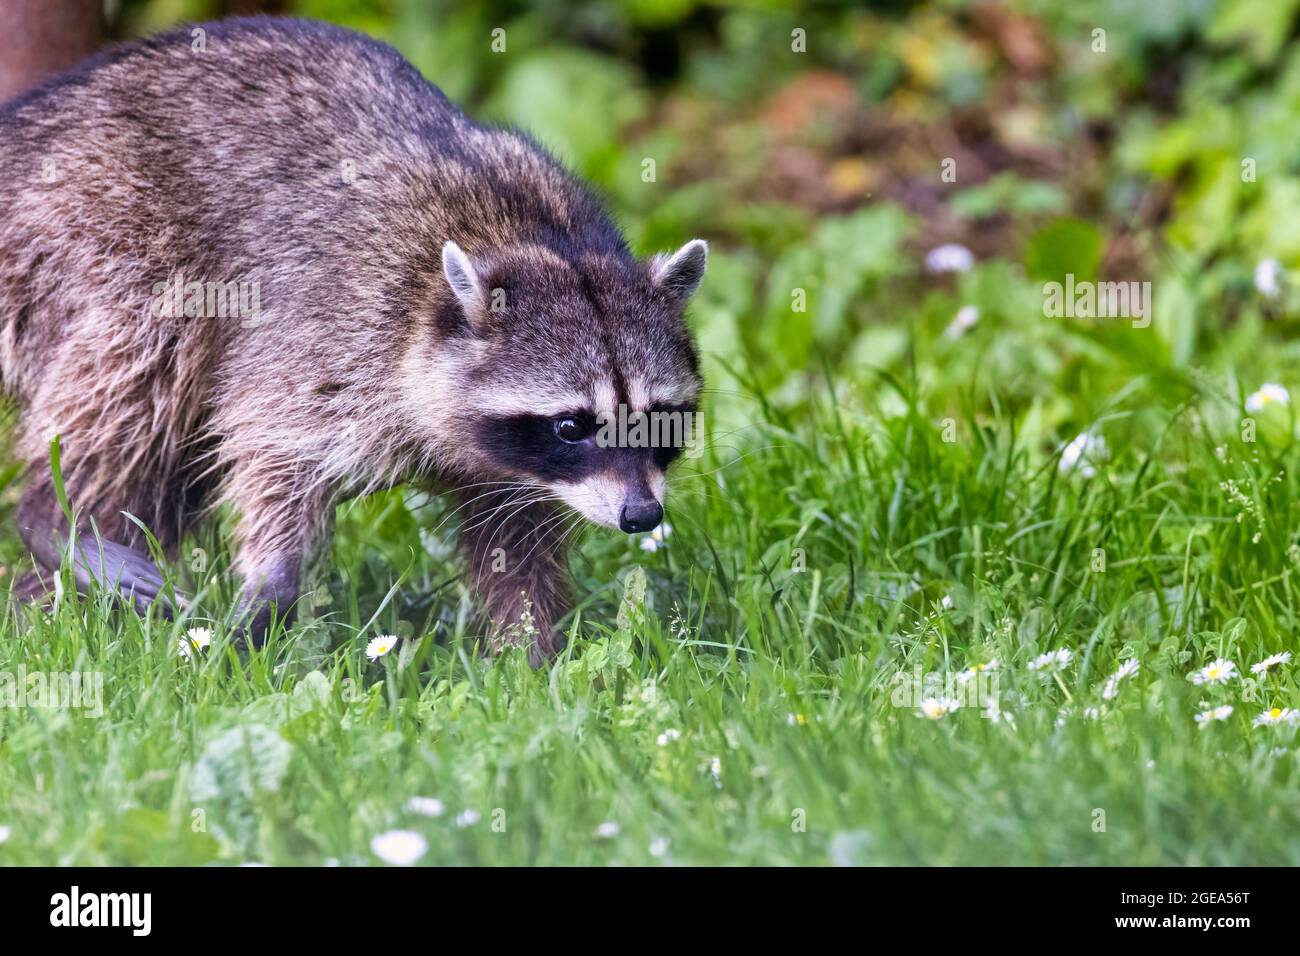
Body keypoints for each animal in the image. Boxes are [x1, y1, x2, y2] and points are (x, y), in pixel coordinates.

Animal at [0, 17, 707, 665]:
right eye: (571, 425)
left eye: (660, 420)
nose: (642, 516)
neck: (536, 239)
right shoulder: (332, 327)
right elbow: (273, 452)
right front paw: (271, 586)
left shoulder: (518, 468)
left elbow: (516, 542)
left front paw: (534, 656)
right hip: (103, 228)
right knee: (138, 375)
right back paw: (53, 522)